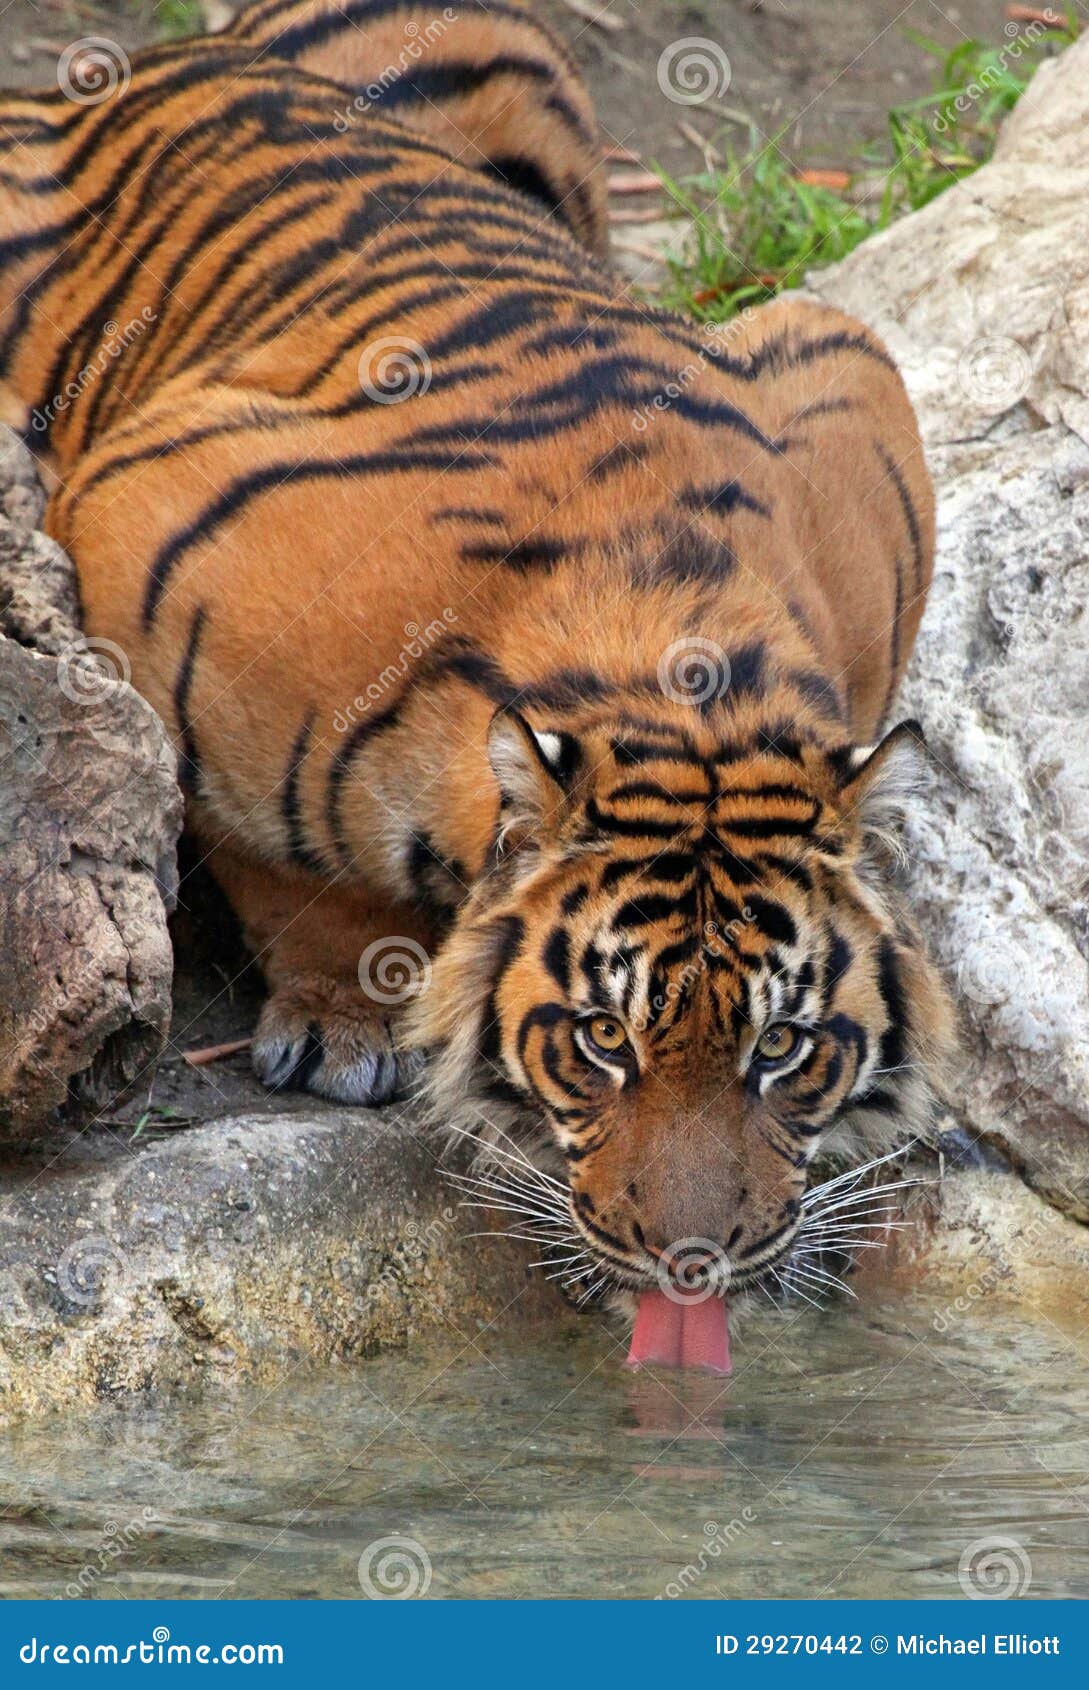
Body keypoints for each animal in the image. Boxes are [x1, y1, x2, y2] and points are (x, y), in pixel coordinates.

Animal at [0, 0, 954, 1303]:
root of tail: (148, 66)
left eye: (783, 1047)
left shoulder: (848, 377)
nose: (695, 1264)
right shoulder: (141, 520)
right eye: (604, 1041)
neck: (673, 672)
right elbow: (271, 848)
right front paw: (349, 1013)